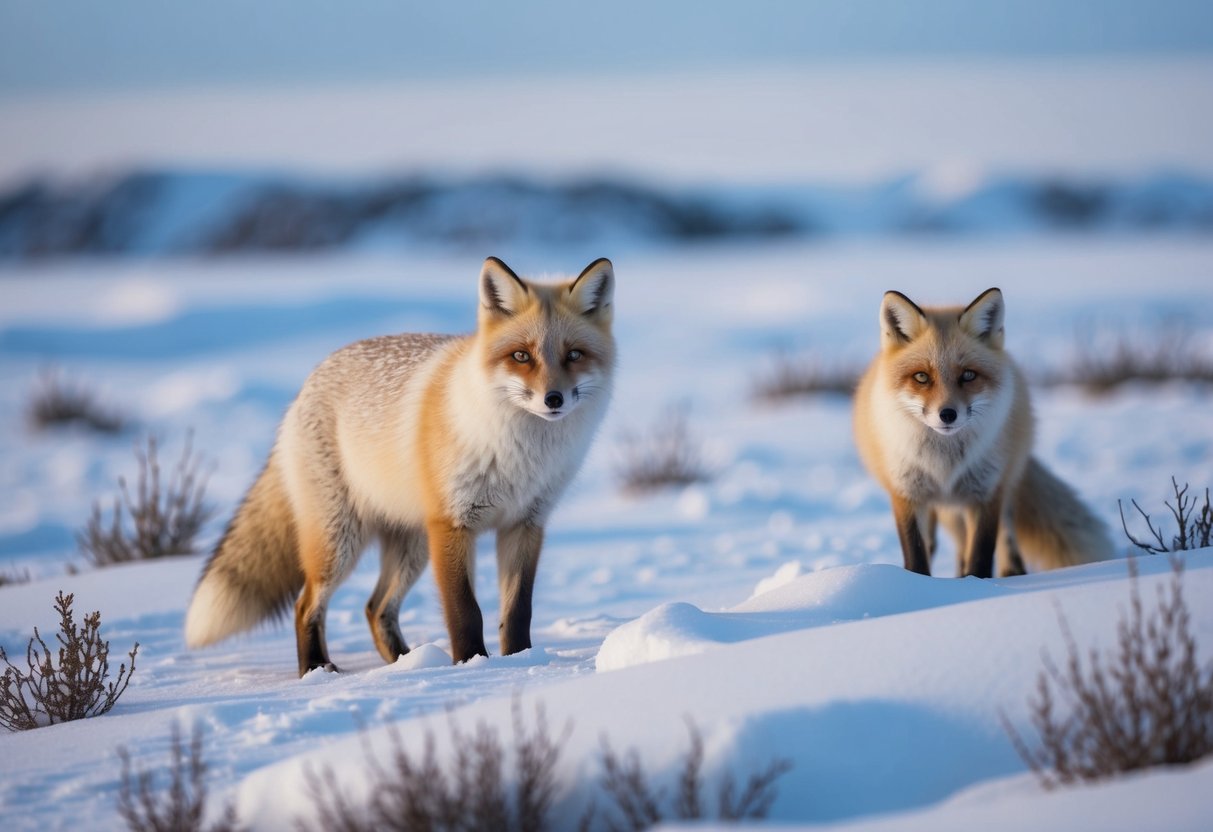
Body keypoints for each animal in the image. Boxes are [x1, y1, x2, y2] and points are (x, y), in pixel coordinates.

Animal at [185, 256, 616, 676]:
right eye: (522, 356)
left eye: (573, 355)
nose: (553, 399)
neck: (520, 454)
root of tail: (308, 383)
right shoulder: (452, 524)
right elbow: (465, 611)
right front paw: (471, 666)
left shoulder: (525, 523)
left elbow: (517, 610)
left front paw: (520, 659)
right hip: (340, 543)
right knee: (306, 605)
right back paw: (316, 668)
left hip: (410, 546)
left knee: (375, 608)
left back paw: (405, 663)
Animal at [853, 287, 1112, 579]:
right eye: (921, 377)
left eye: (968, 375)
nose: (947, 414)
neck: (944, 463)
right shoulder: (906, 493)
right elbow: (917, 554)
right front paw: (919, 583)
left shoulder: (985, 493)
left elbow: (980, 553)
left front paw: (976, 585)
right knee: (941, 543)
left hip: (1000, 486)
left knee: (1001, 535)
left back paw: (1010, 572)